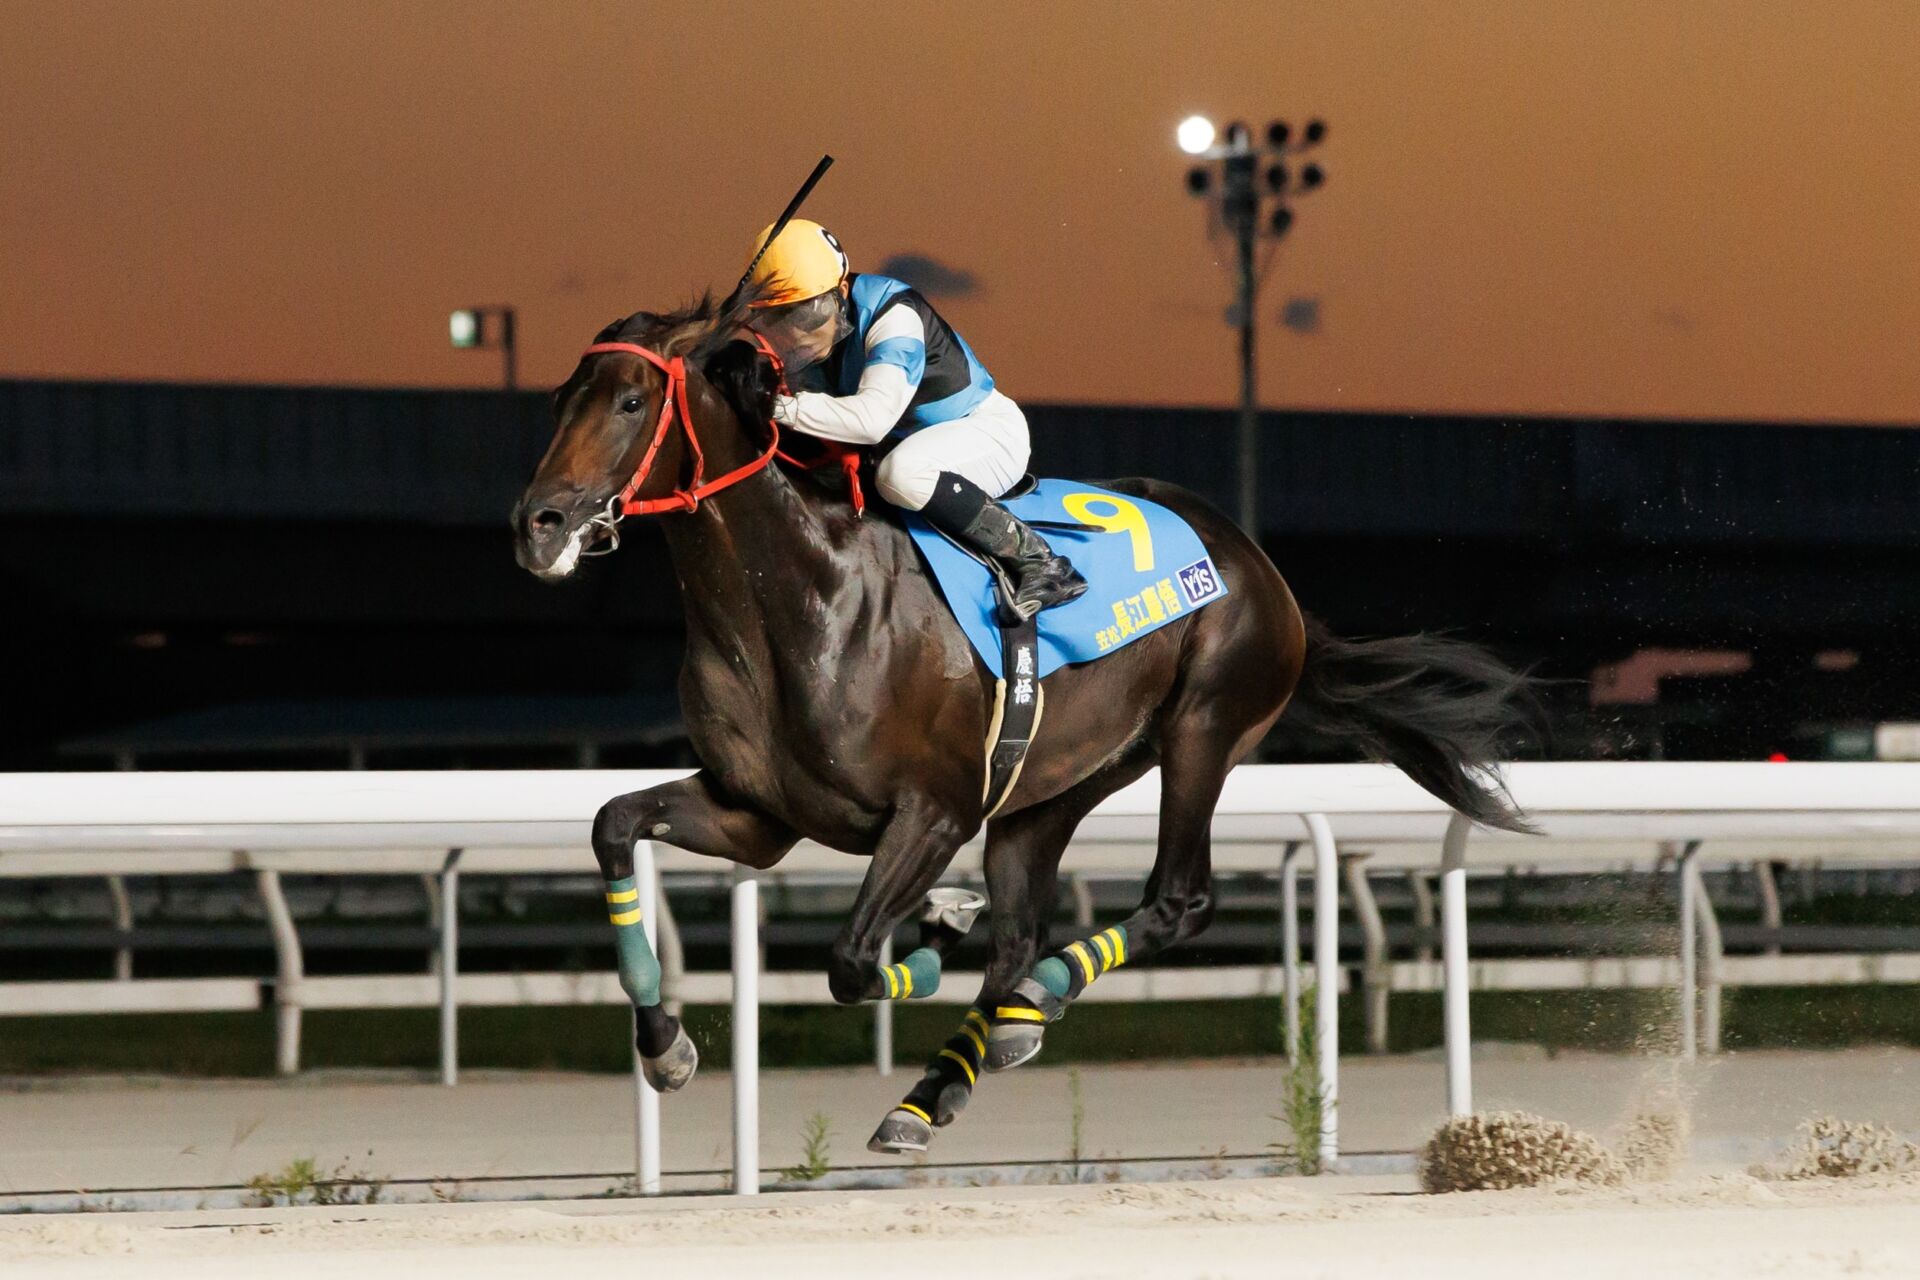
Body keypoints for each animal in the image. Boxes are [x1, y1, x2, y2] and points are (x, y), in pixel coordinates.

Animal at [511, 293, 1535, 1154]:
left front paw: (929, 941)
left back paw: (1031, 1000)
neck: (798, 600)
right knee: (1015, 940)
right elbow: (613, 825)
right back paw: (940, 1083)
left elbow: (852, 962)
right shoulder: (759, 814)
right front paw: (664, 1044)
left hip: (1203, 728)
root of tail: (1259, 567)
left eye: (632, 400)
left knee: (1171, 902)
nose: (539, 524)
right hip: (1055, 785)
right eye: (562, 396)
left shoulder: (935, 810)